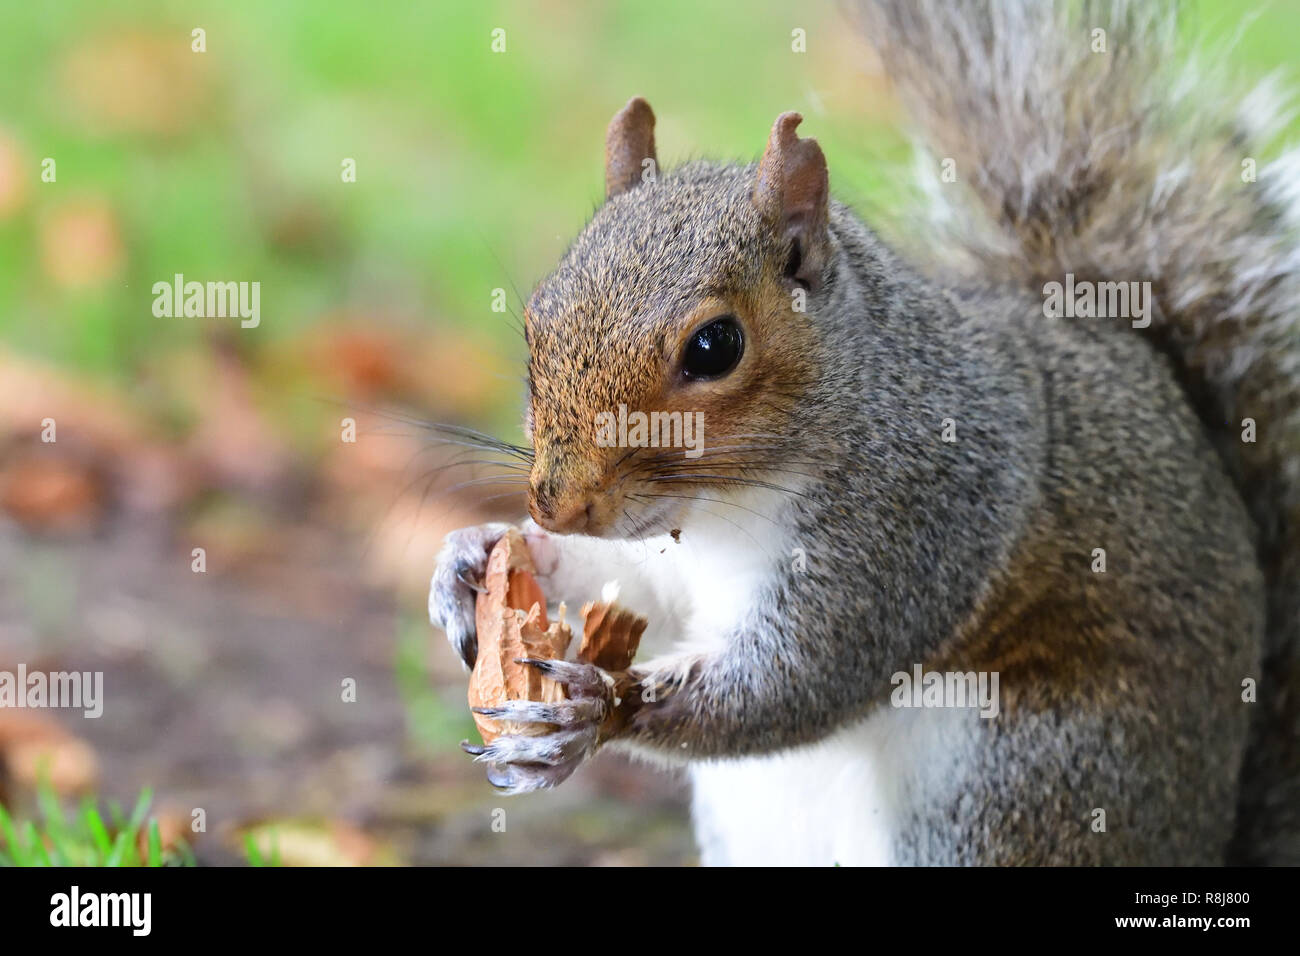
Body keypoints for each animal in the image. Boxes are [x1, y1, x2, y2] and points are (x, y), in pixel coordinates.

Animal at [429, 0, 1299, 865]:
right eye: (537, 314)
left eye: (715, 346)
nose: (555, 505)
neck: (721, 511)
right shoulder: (668, 563)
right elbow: (633, 596)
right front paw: (477, 556)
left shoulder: (913, 524)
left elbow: (799, 681)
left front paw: (590, 708)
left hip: (1017, 790)